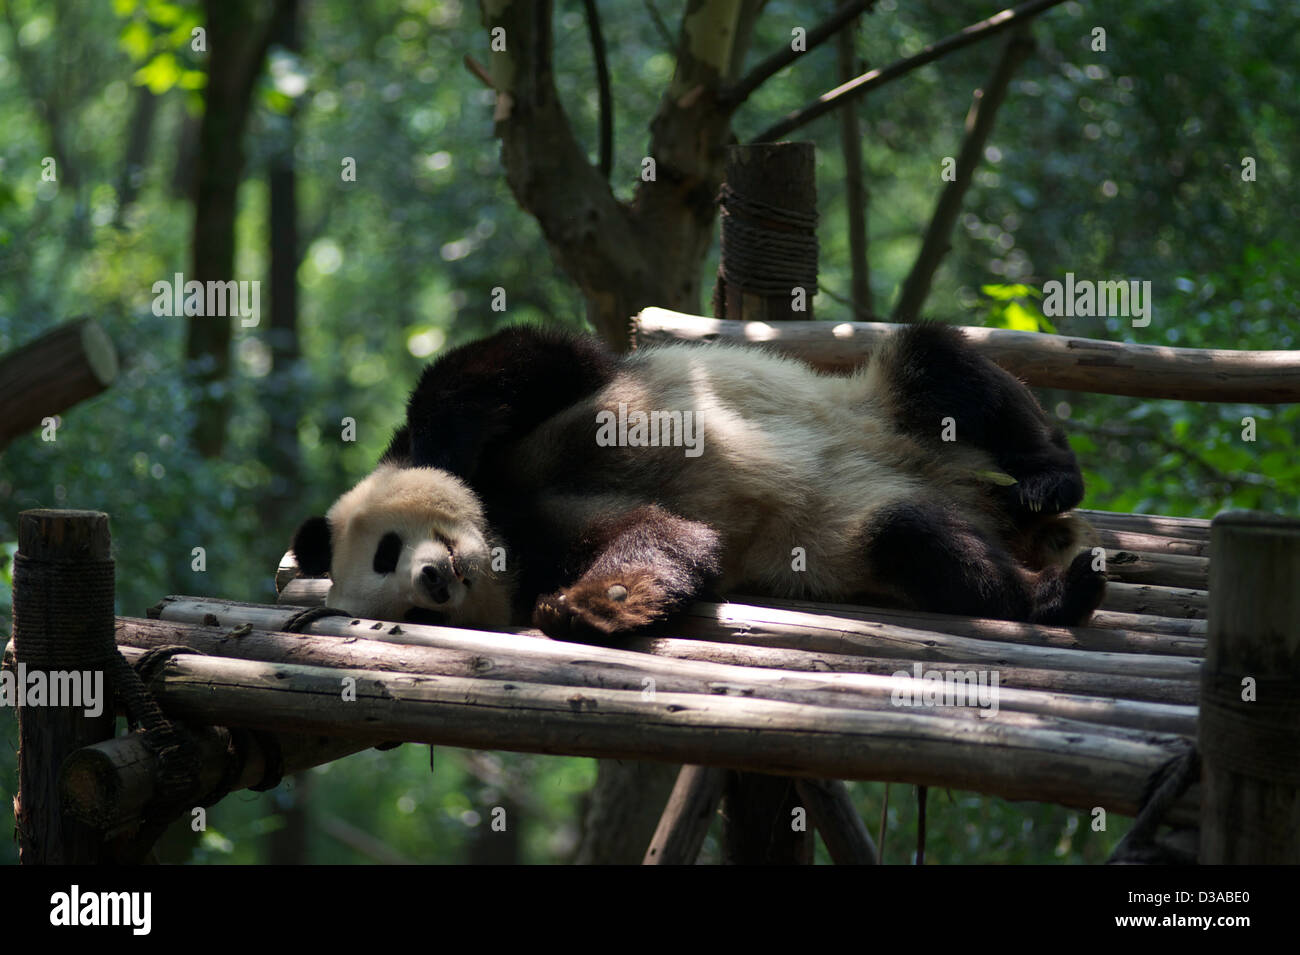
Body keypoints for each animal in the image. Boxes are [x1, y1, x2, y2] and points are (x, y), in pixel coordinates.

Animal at [292, 322, 1105, 641]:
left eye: (387, 552)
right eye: (405, 607)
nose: (432, 581)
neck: (501, 525)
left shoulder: (555, 406)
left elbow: (513, 366)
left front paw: (443, 445)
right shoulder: (537, 550)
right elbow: (666, 537)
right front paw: (589, 607)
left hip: (875, 407)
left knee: (941, 370)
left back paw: (1049, 487)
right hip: (849, 533)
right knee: (918, 539)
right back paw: (1048, 590)